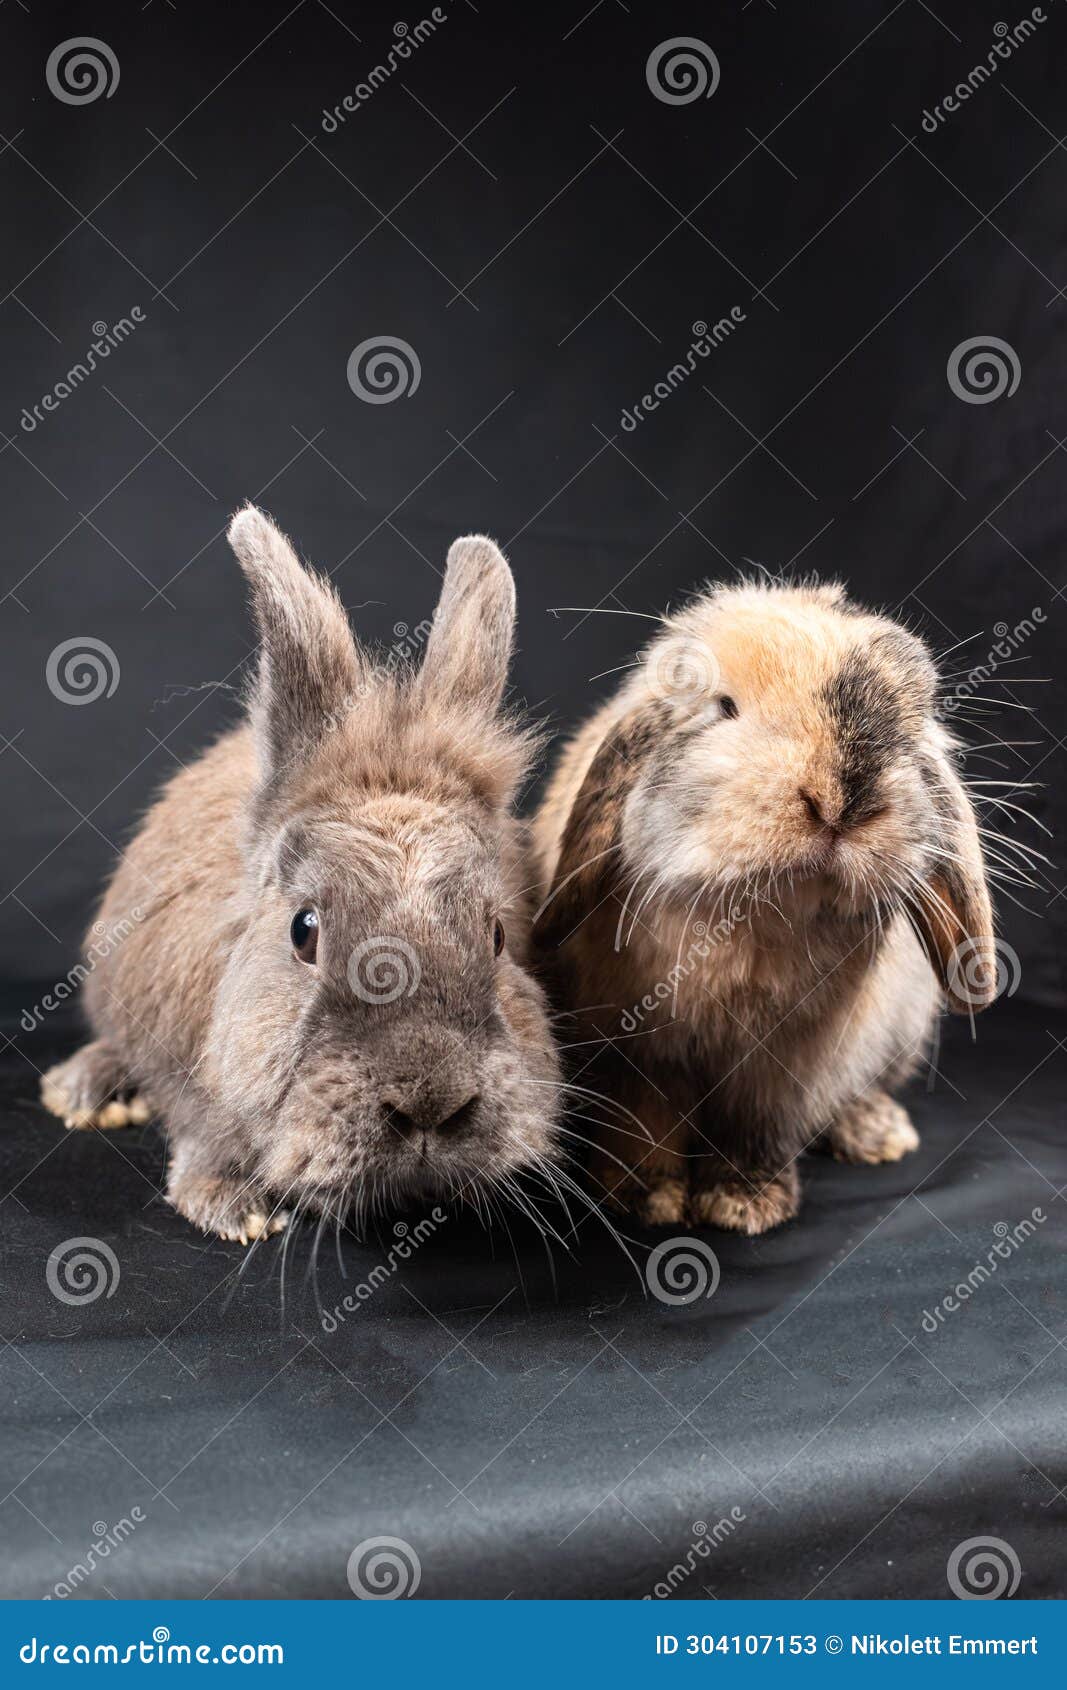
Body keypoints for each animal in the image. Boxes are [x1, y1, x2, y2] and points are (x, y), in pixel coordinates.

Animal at [531, 576, 1000, 1235]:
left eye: (910, 729)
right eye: (724, 706)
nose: (840, 800)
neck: (755, 920)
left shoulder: (780, 1073)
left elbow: (756, 1130)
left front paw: (744, 1204)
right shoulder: (635, 1055)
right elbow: (644, 1125)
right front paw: (643, 1200)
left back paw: (879, 1135)